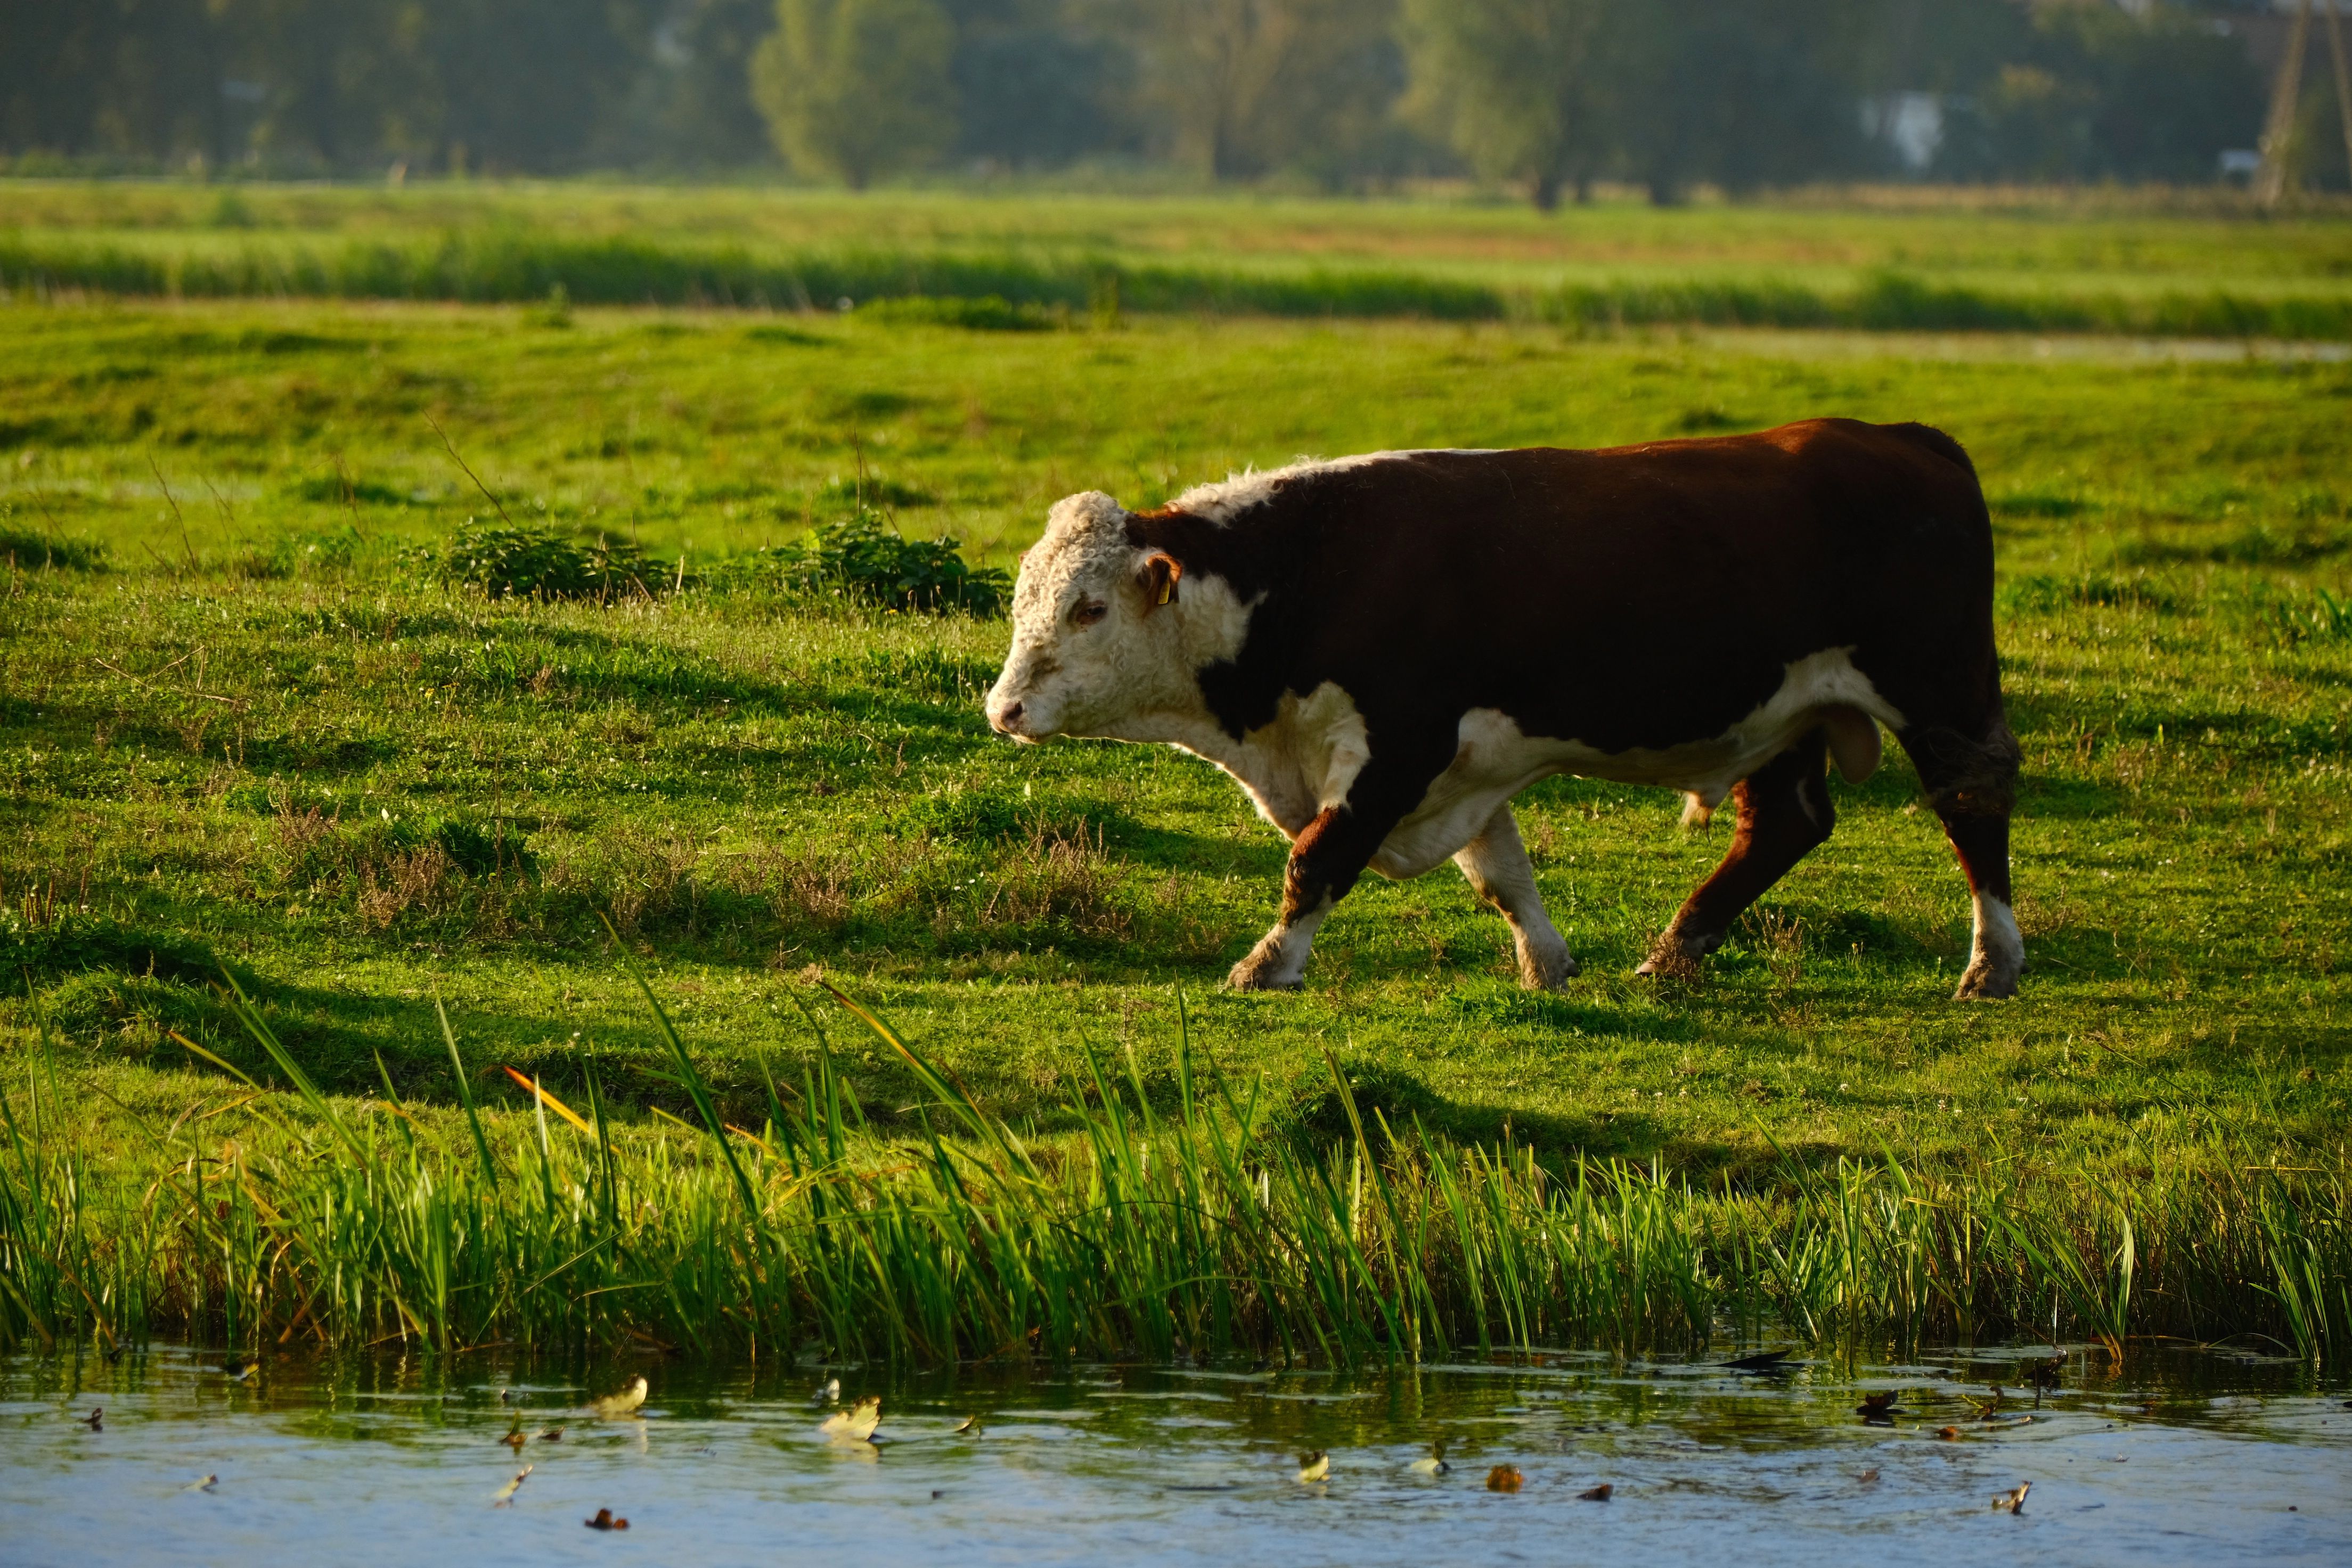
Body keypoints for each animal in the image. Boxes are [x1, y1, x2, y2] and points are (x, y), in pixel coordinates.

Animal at [984, 419, 2022, 1000]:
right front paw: (1549, 963)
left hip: (1939, 690)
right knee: (1783, 824)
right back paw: (1674, 952)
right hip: (1783, 714)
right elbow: (1501, 875)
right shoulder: (1458, 764)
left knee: (1973, 805)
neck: (1305, 575)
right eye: (1022, 599)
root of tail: (1907, 436)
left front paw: (1268, 963)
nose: (1006, 706)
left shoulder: (1401, 741)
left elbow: (1316, 857)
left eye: (1088, 607)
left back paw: (1991, 963)